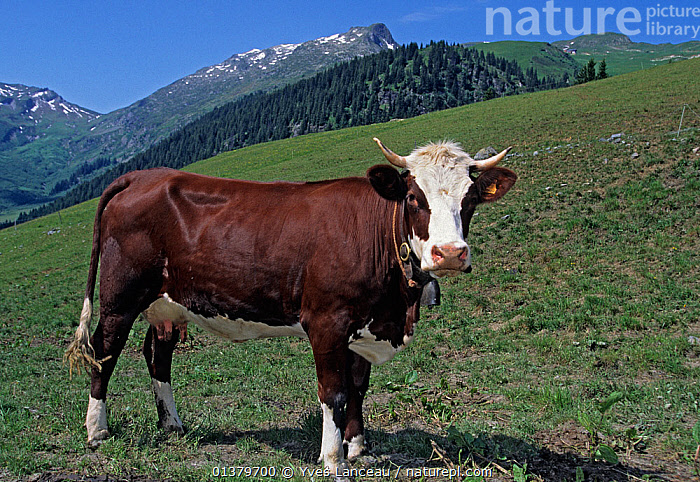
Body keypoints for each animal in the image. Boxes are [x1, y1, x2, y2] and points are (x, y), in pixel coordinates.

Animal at [65, 138, 516, 474]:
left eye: (470, 199)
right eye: (412, 197)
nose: (450, 253)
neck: (395, 306)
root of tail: (142, 175)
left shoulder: (362, 325)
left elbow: (358, 385)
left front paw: (356, 444)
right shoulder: (327, 322)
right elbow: (333, 391)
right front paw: (332, 458)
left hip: (166, 304)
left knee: (157, 355)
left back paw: (172, 424)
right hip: (120, 297)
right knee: (105, 351)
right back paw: (96, 431)